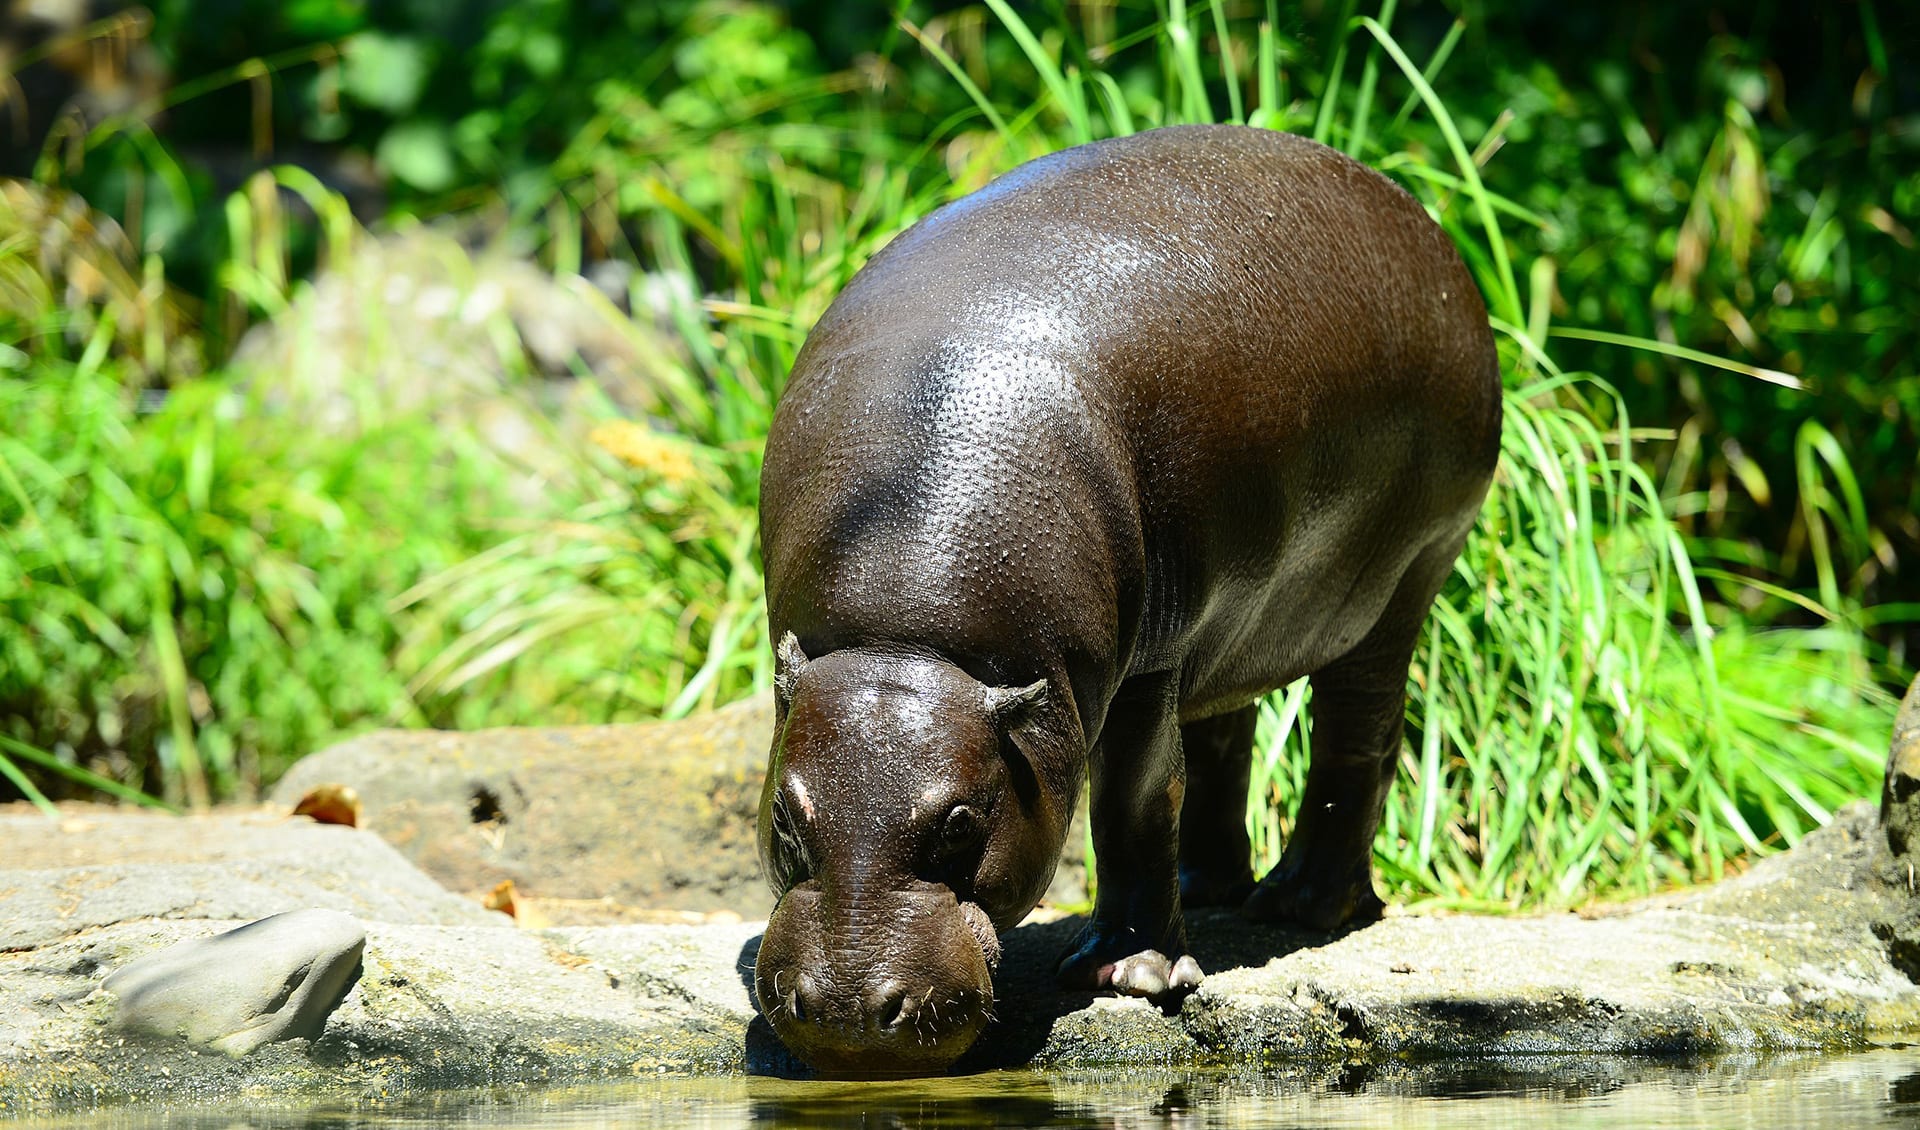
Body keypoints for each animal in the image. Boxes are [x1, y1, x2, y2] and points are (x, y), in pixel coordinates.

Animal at [752, 123, 1502, 1075]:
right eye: (784, 816)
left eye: (958, 824)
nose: (847, 1014)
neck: (907, 639)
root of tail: (1423, 224)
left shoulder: (1147, 663)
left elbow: (1137, 798)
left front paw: (1134, 977)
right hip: (1235, 612)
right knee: (1224, 735)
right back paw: (1209, 888)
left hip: (1403, 578)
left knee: (1356, 734)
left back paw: (1298, 905)